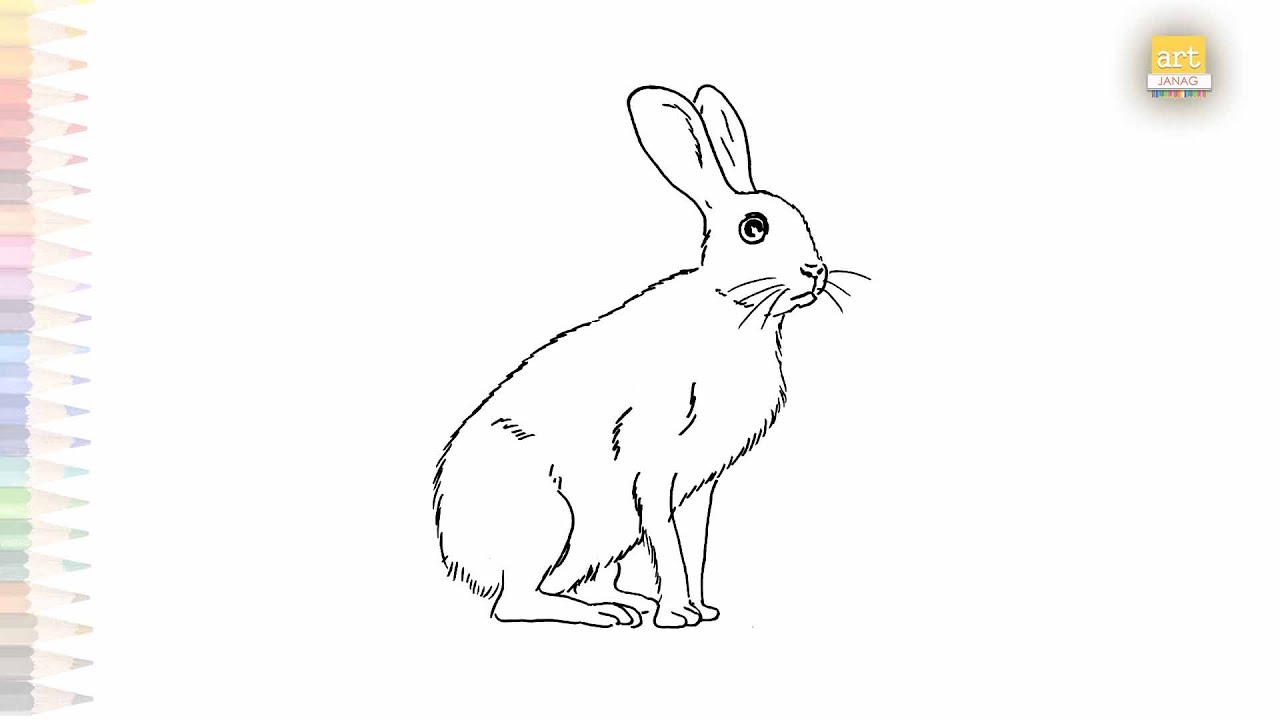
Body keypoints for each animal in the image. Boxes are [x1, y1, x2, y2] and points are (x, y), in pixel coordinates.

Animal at [434, 84, 858, 628]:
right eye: (754, 228)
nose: (816, 270)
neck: (736, 312)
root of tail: (460, 557)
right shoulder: (654, 467)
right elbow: (670, 548)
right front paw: (677, 615)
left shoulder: (700, 485)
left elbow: (694, 548)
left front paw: (703, 609)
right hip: (550, 518)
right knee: (515, 603)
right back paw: (601, 615)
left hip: (602, 538)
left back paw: (623, 605)